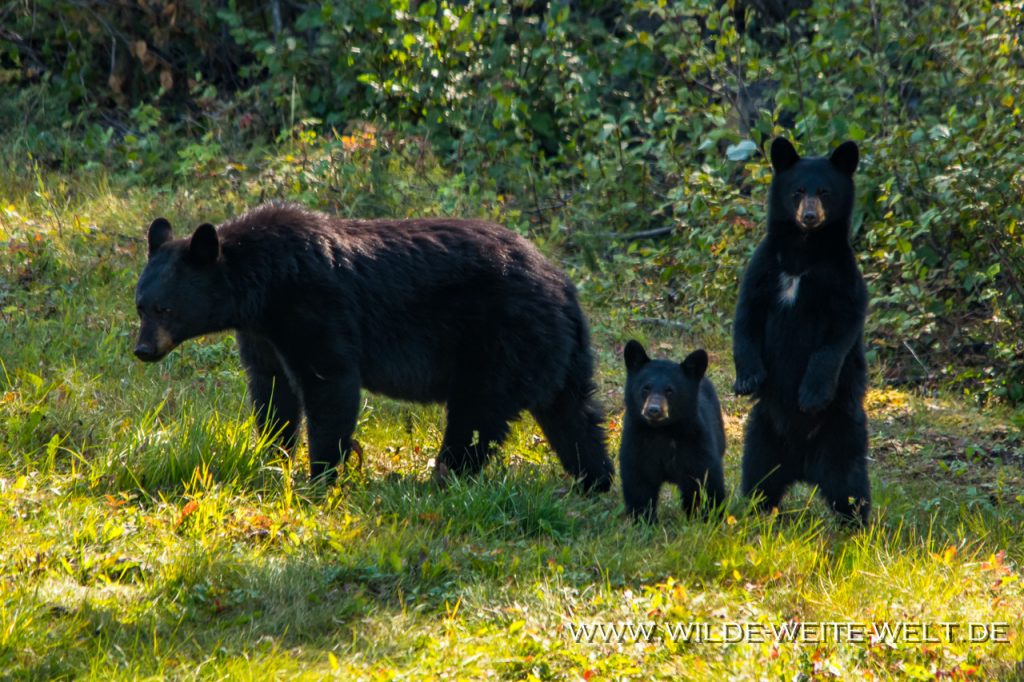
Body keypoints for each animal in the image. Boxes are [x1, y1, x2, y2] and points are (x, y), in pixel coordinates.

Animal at [133, 202, 614, 492]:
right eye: (139, 305)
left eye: (164, 309)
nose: (143, 350)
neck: (262, 287)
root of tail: (564, 287)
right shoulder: (261, 333)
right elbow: (271, 389)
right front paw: (272, 454)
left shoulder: (312, 306)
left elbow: (329, 383)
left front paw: (321, 474)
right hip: (555, 352)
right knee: (574, 414)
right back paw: (596, 480)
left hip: (500, 342)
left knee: (477, 416)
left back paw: (442, 478)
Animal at [618, 340, 727, 523]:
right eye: (645, 388)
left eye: (669, 390)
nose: (653, 410)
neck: (663, 431)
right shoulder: (636, 443)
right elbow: (639, 483)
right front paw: (644, 519)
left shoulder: (695, 444)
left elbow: (705, 481)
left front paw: (708, 518)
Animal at [732, 137, 870, 524]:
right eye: (797, 191)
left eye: (824, 191)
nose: (809, 217)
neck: (803, 253)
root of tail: (804, 470)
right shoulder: (764, 268)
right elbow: (746, 318)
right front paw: (747, 378)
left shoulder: (843, 278)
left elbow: (837, 336)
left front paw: (810, 395)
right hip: (761, 433)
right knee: (757, 477)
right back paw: (755, 509)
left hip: (844, 436)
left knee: (851, 488)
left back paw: (857, 526)